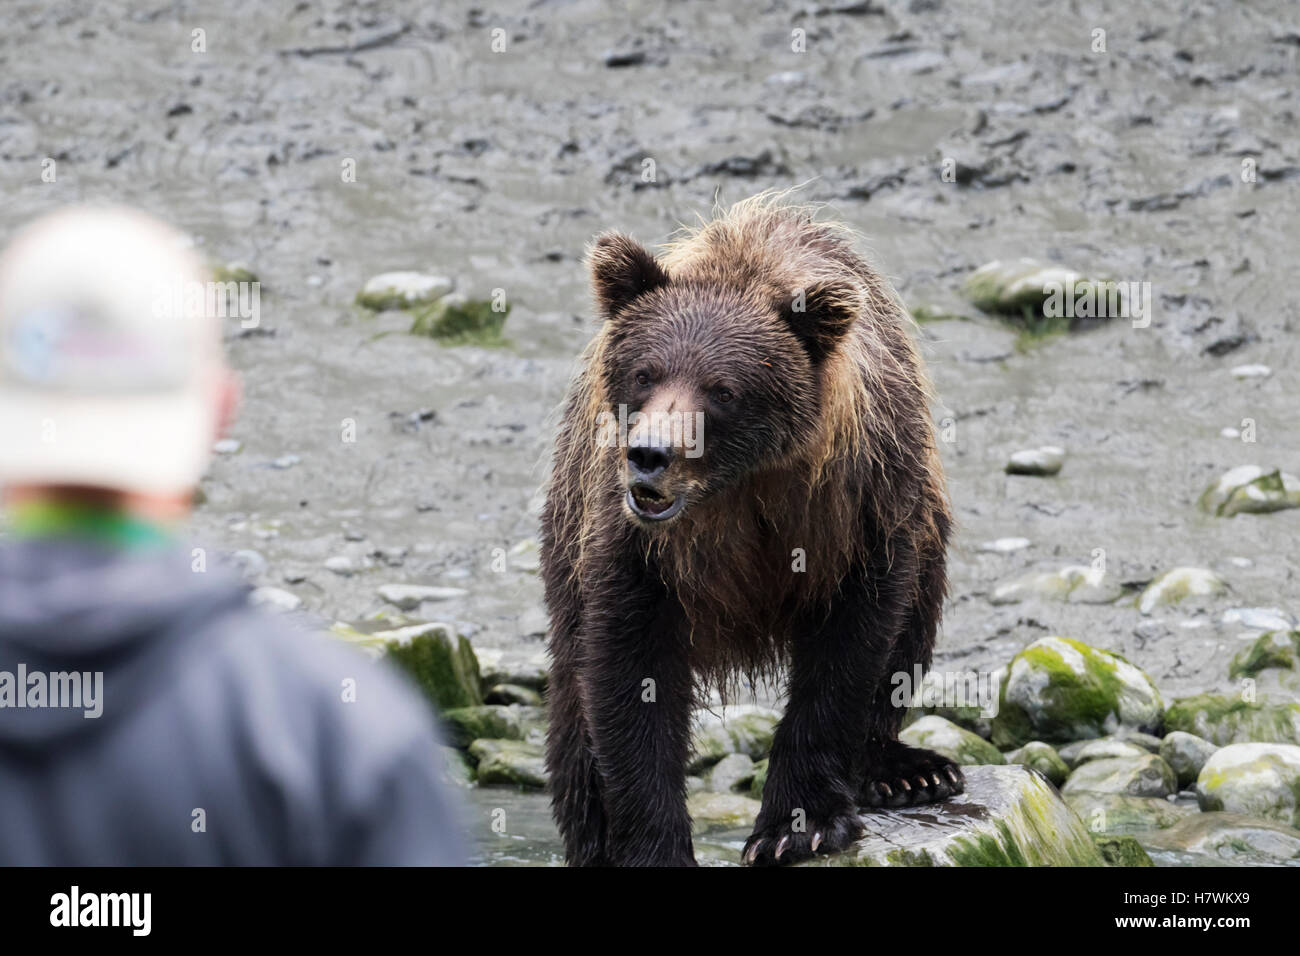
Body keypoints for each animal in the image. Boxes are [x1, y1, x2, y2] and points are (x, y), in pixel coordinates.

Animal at [540, 191, 959, 867]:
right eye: (645, 373)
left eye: (723, 390)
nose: (651, 454)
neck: (740, 486)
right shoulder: (636, 547)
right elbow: (630, 674)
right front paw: (653, 846)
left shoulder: (858, 503)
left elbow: (850, 648)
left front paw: (797, 825)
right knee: (575, 705)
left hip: (926, 520)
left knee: (912, 625)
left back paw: (911, 772)